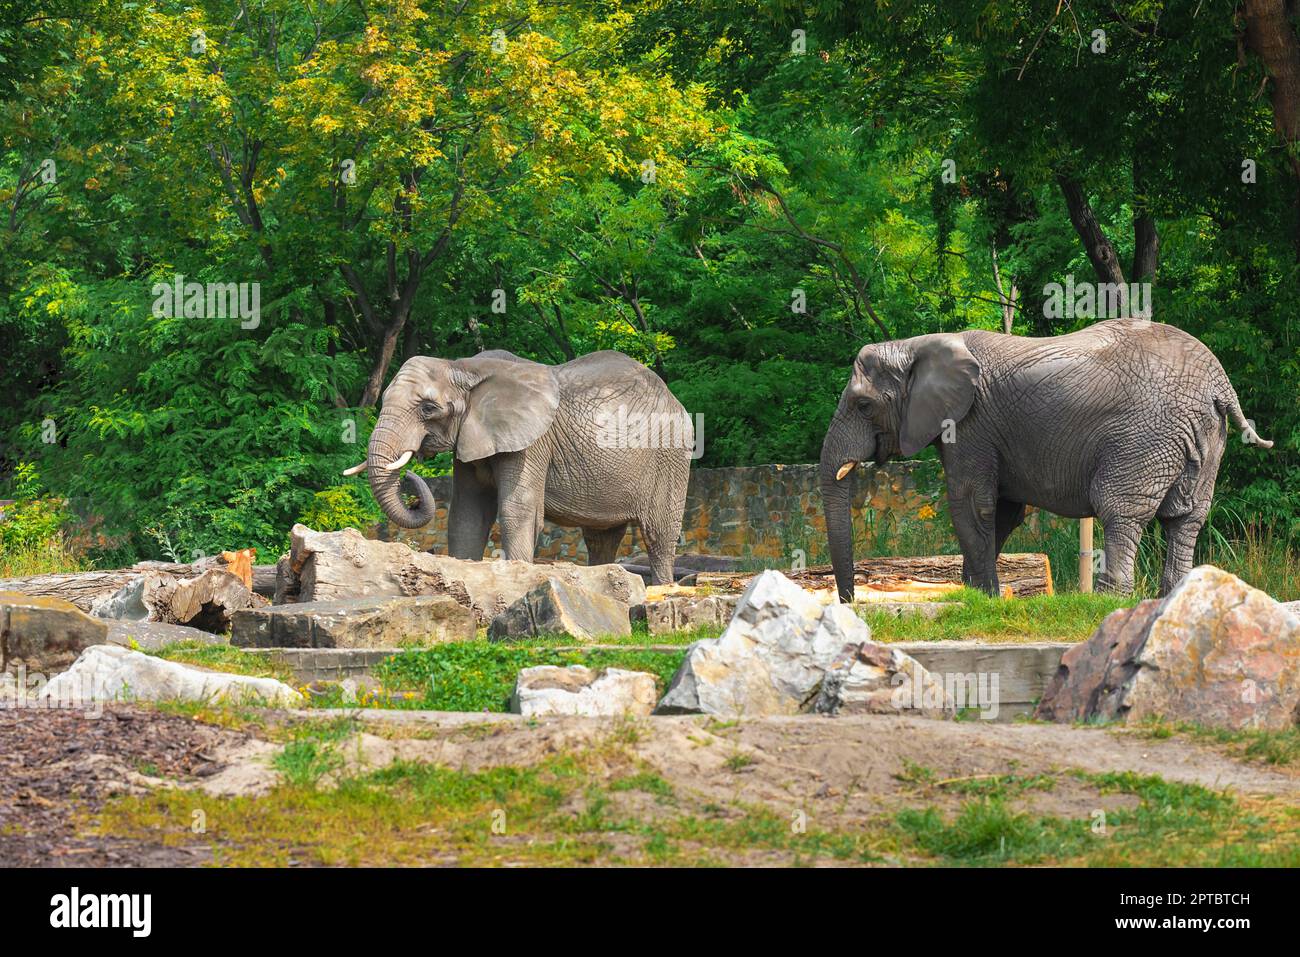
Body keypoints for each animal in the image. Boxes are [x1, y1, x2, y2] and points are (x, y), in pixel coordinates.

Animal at [345, 349, 692, 584]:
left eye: (428, 408)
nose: (412, 476)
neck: (463, 367)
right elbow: (466, 516)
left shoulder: (532, 443)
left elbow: (518, 510)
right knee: (600, 538)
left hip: (671, 454)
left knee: (659, 533)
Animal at [819, 318, 1273, 602]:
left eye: (863, 405)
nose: (849, 601)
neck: (916, 344)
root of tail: (1219, 384)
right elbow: (1003, 512)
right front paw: (978, 594)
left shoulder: (969, 425)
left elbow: (971, 503)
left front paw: (984, 597)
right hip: (1206, 437)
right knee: (1186, 517)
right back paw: (1171, 599)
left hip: (1147, 437)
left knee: (1122, 511)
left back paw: (1106, 601)